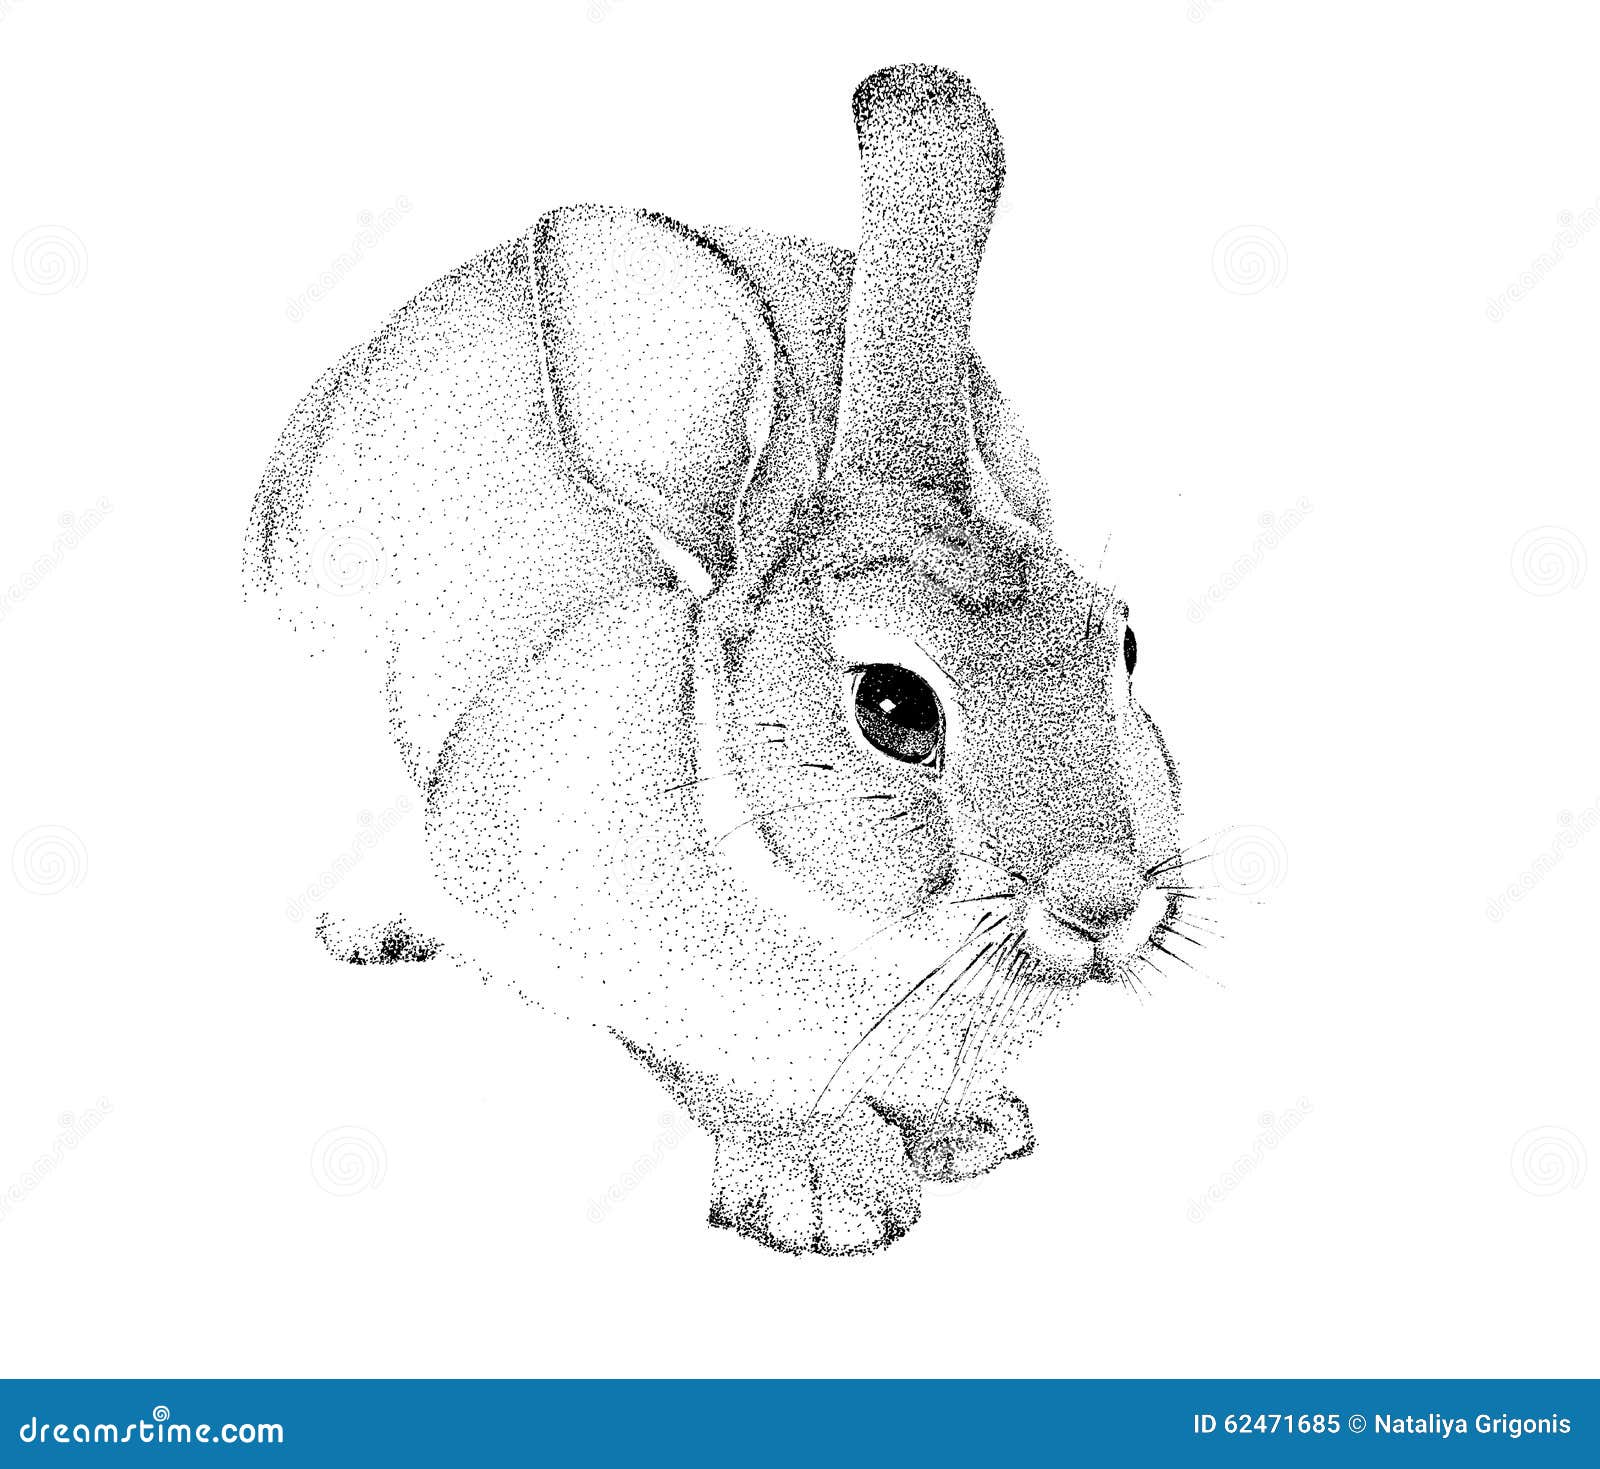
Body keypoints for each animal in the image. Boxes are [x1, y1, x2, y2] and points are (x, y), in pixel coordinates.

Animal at [244, 63, 1185, 1255]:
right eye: (892, 708)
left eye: (1123, 642)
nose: (1102, 899)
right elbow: (718, 1078)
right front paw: (826, 1195)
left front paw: (968, 1131)